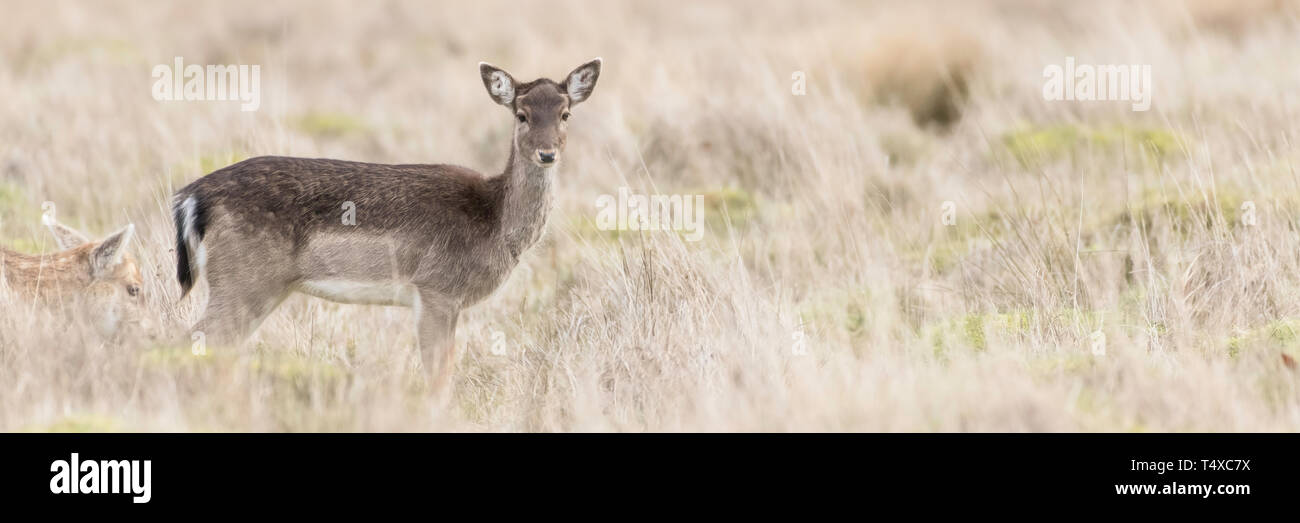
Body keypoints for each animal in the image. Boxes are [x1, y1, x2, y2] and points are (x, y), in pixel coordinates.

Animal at [171, 58, 602, 394]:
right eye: (521, 114)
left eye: (565, 113)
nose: (547, 153)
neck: (493, 220)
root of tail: (192, 196)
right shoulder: (436, 288)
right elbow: (438, 376)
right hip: (244, 281)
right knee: (195, 340)